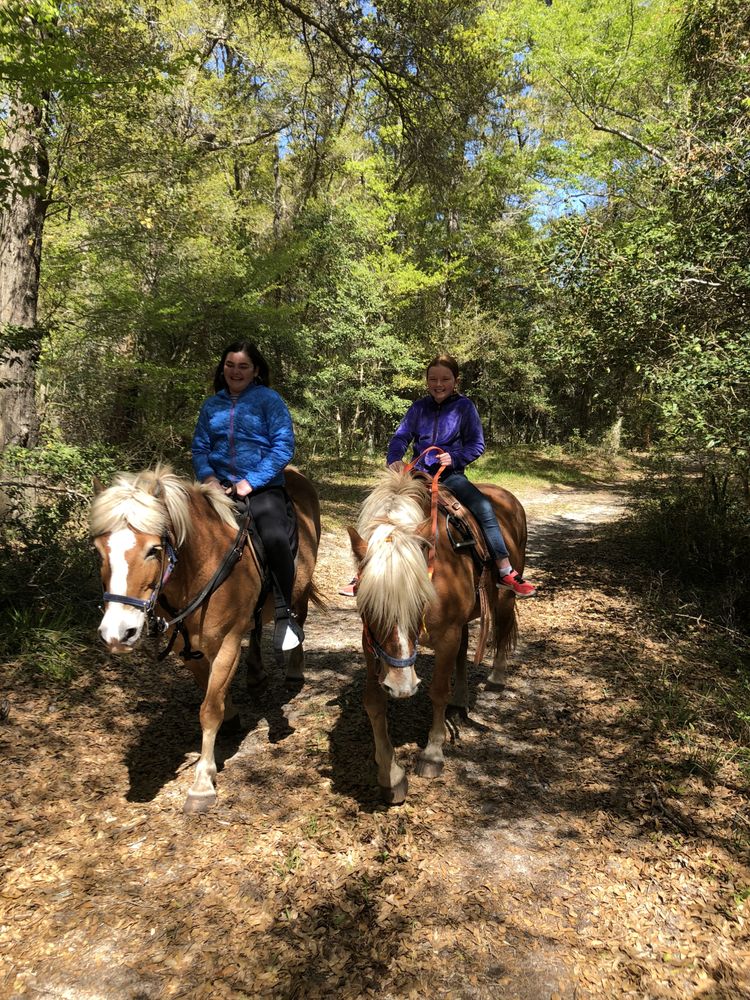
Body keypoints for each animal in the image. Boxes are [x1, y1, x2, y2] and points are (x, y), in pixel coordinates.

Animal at [90, 464, 321, 814]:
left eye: (153, 550)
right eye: (99, 551)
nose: (118, 633)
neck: (200, 567)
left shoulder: (227, 644)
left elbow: (209, 709)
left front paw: (202, 782)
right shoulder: (189, 650)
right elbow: (211, 694)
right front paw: (232, 715)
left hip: (299, 589)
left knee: (297, 618)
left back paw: (294, 670)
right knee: (256, 629)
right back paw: (256, 675)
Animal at [348, 468, 527, 804]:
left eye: (420, 600)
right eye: (368, 605)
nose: (401, 687)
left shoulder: (446, 637)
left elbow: (438, 692)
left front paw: (432, 754)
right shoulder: (372, 646)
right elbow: (374, 702)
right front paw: (390, 774)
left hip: (504, 596)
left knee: (501, 631)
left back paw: (496, 678)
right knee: (466, 651)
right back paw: (461, 701)